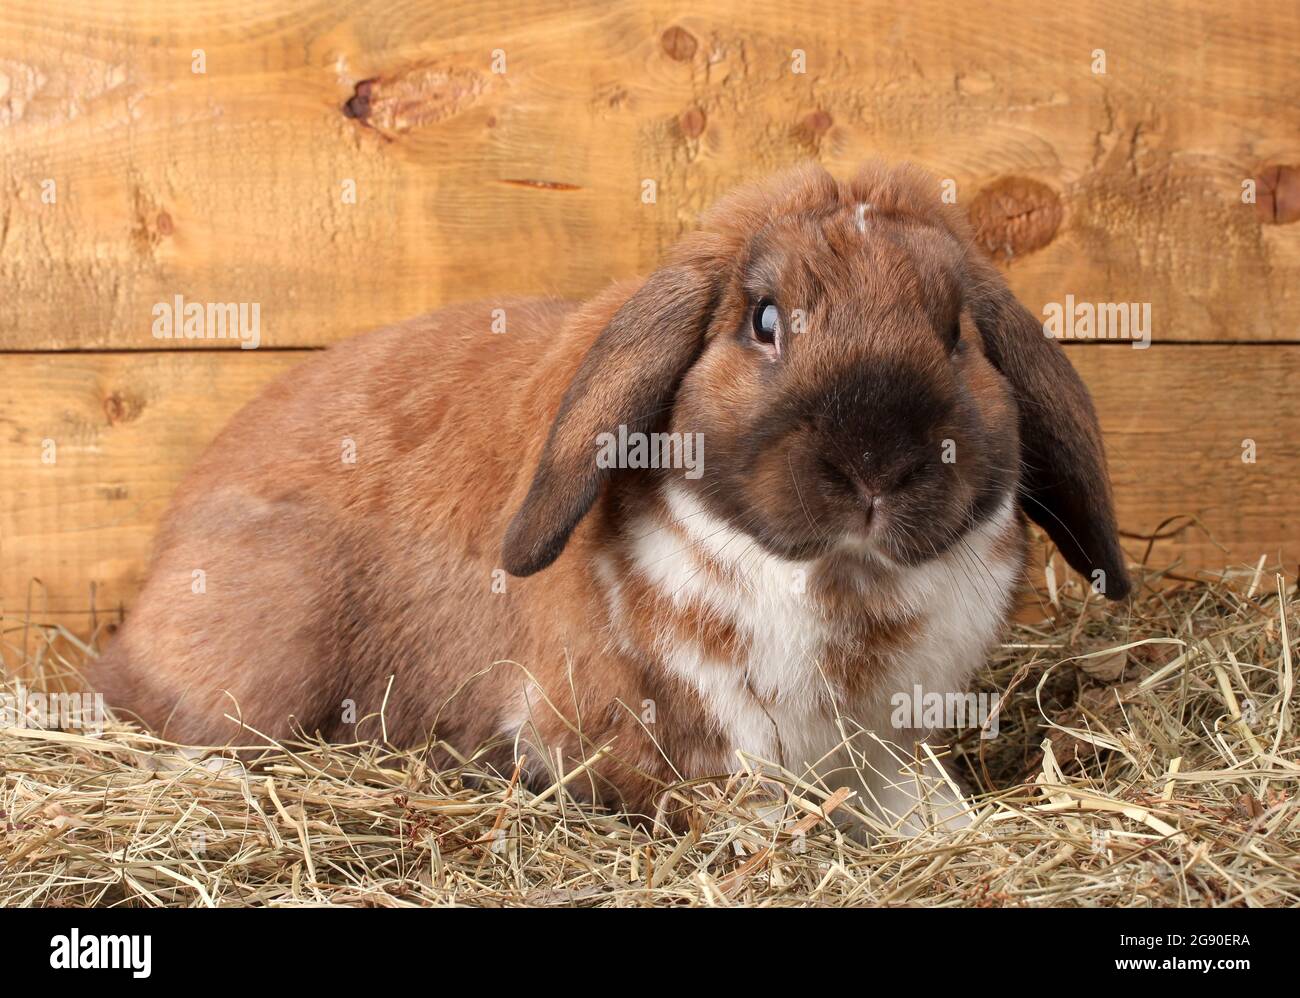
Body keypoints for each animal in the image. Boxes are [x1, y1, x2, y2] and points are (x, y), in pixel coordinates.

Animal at [95, 161, 1129, 833]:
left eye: (957, 334)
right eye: (763, 321)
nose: (877, 464)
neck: (839, 593)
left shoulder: (886, 750)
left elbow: (921, 808)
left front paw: (954, 832)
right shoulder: (668, 745)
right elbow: (742, 813)